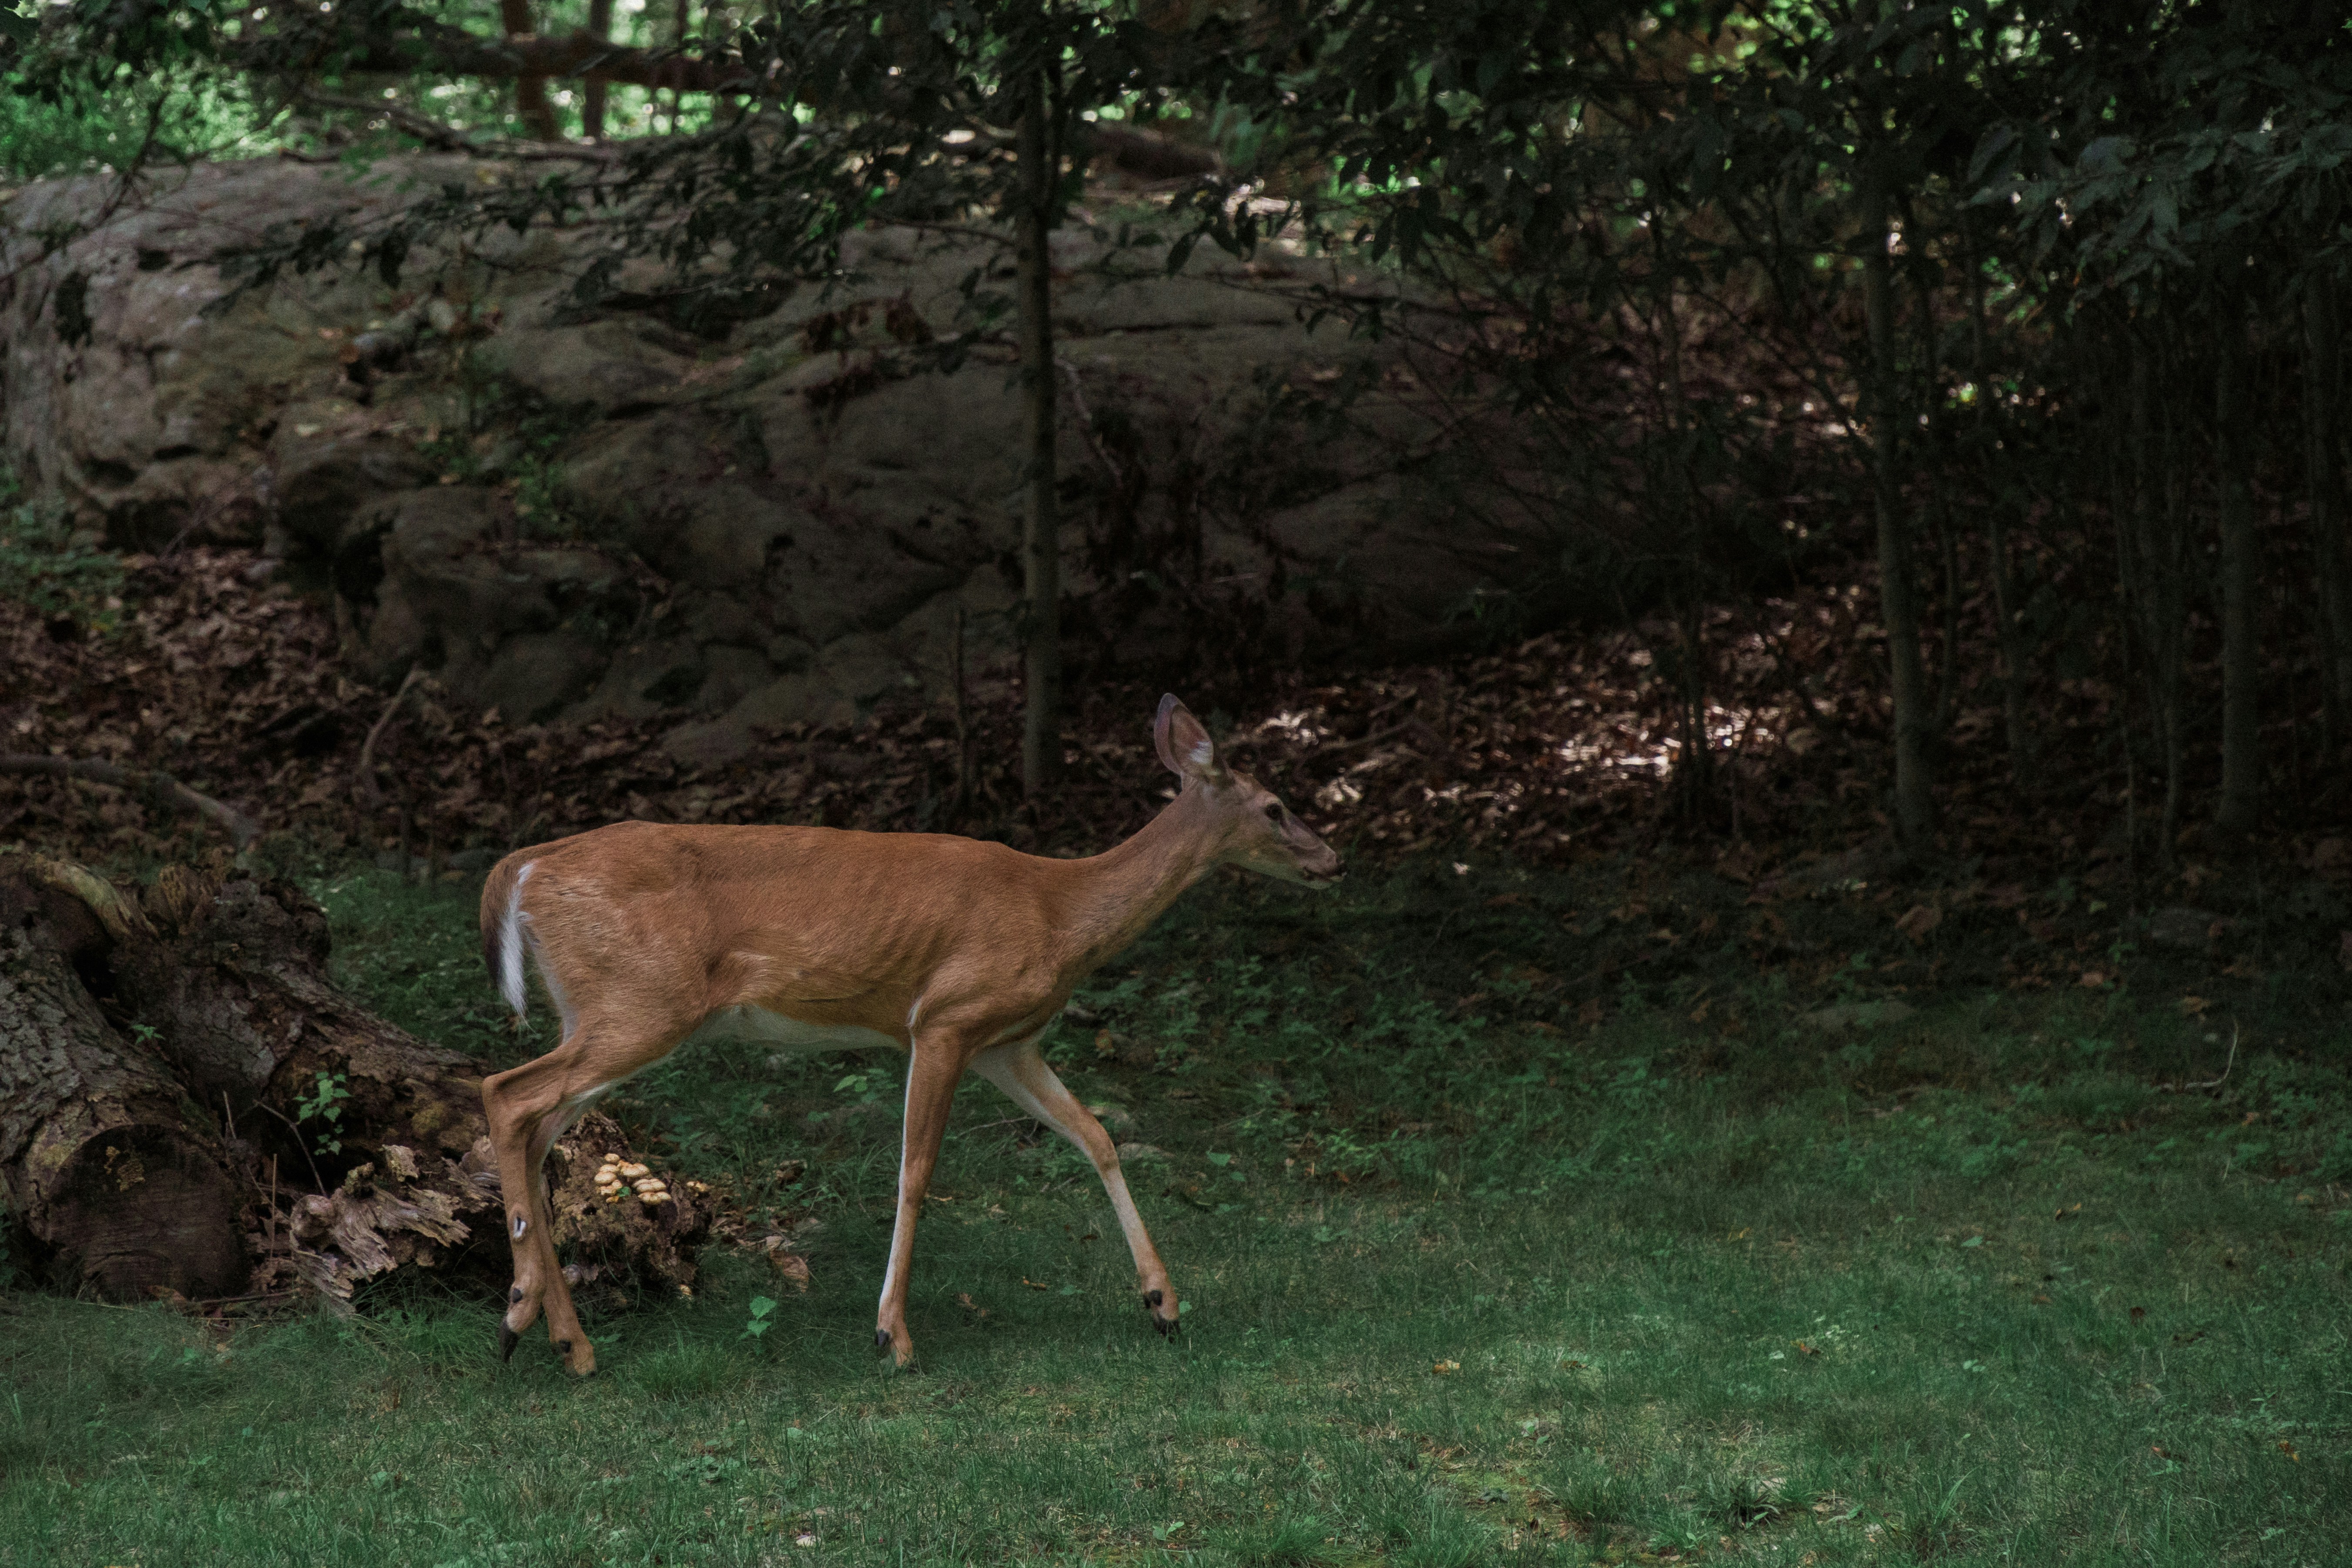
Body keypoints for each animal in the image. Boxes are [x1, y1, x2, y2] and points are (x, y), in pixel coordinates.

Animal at [477, 694, 1343, 1373]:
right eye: (1276, 806)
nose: (1333, 860)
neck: (1060, 910)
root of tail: (521, 867)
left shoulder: (1007, 1042)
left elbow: (1096, 1135)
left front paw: (1162, 1302)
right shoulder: (946, 1016)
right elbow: (916, 1171)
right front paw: (892, 1334)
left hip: (599, 1007)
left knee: (537, 1128)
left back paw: (567, 1342)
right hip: (643, 1001)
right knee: (506, 1092)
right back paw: (520, 1309)